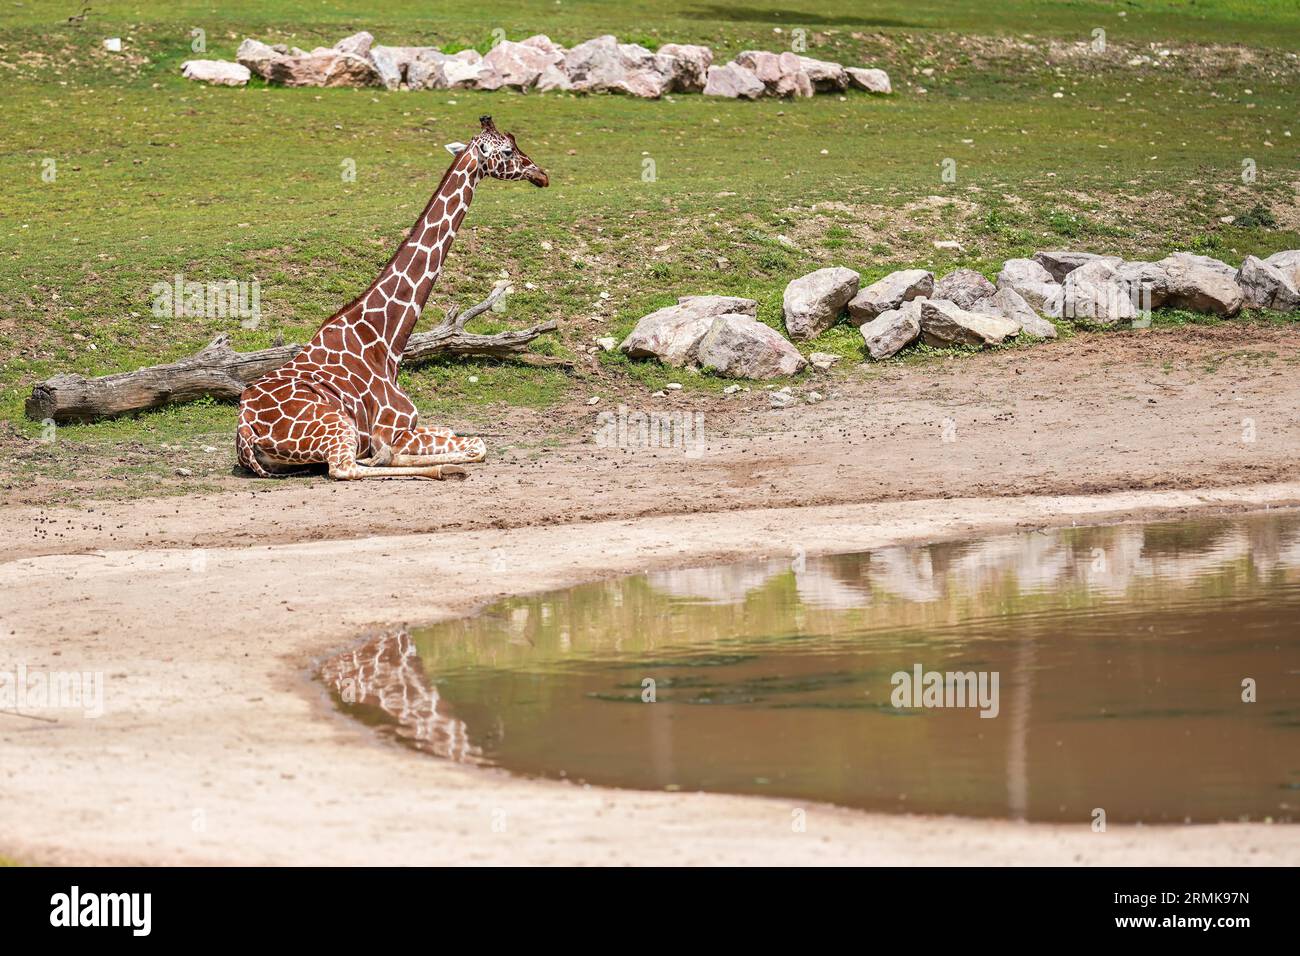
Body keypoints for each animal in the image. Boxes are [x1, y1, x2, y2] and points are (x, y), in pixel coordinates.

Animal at [236, 115, 549, 481]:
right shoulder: (393, 428)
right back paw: (441, 468)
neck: (386, 340)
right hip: (336, 426)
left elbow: (457, 434)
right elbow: (477, 445)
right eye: (509, 150)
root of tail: (245, 433)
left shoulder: (411, 426)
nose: (541, 174)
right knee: (346, 468)